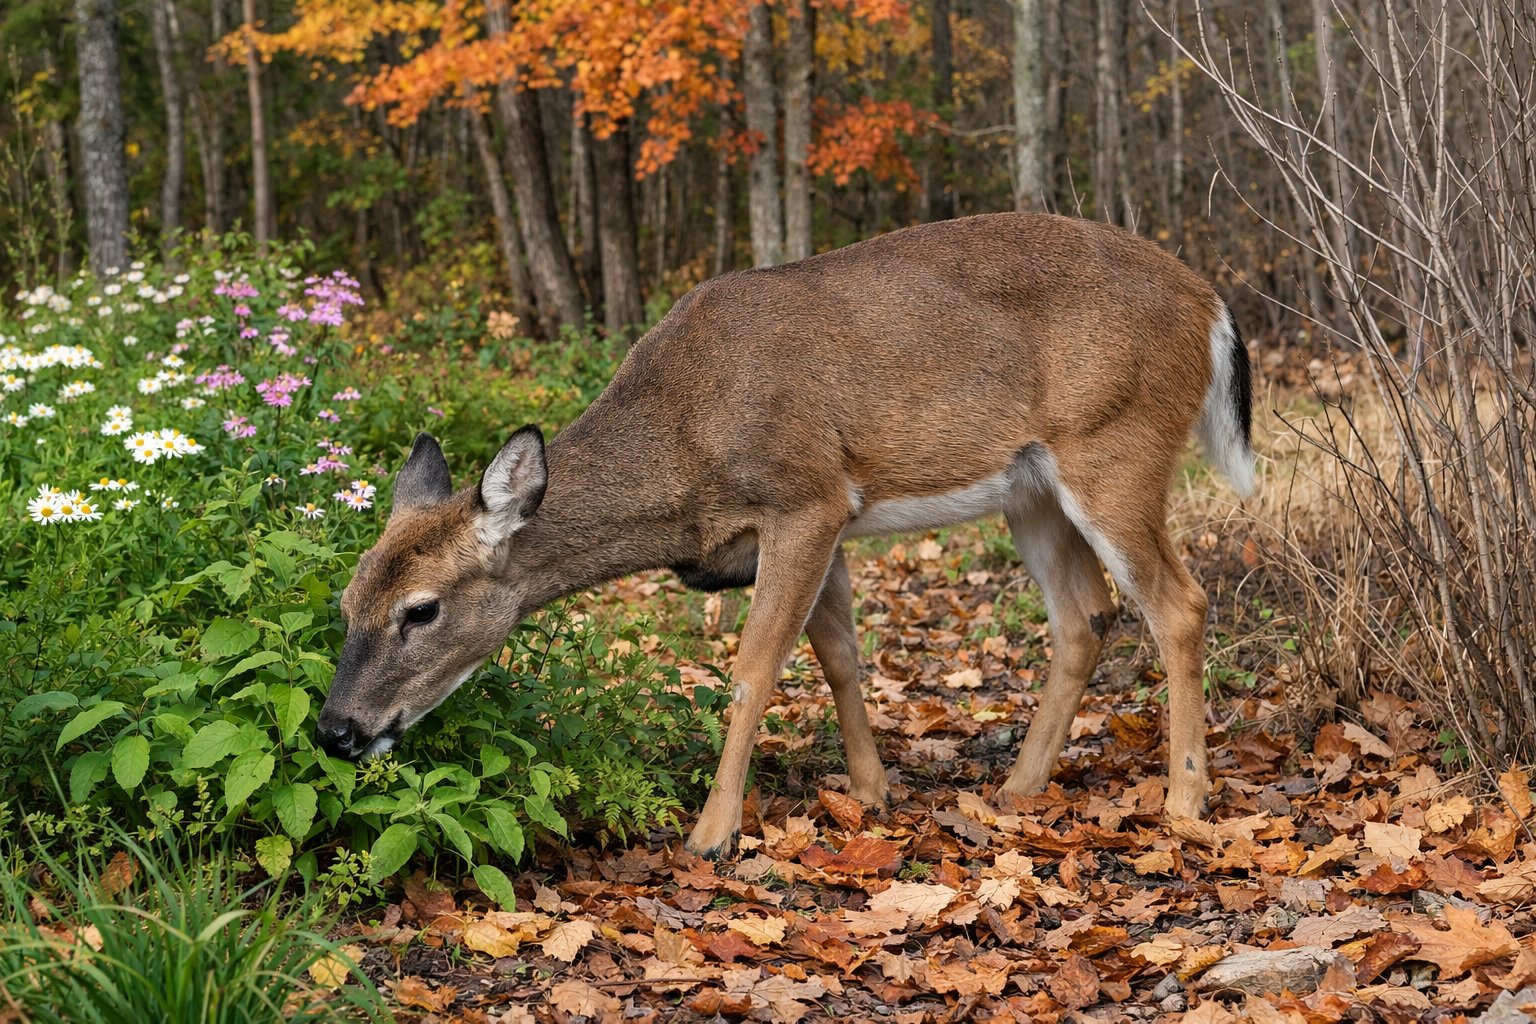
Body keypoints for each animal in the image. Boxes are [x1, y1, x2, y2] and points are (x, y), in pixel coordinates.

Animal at [316, 212, 1256, 858]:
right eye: (347, 598)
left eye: (422, 610)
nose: (335, 732)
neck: (685, 442)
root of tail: (1211, 304)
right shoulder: (822, 517)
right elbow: (837, 655)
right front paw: (873, 794)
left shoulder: (804, 494)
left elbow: (753, 668)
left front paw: (713, 835)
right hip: (1031, 488)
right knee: (1084, 616)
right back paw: (1019, 789)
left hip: (1117, 445)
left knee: (1179, 603)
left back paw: (1184, 802)